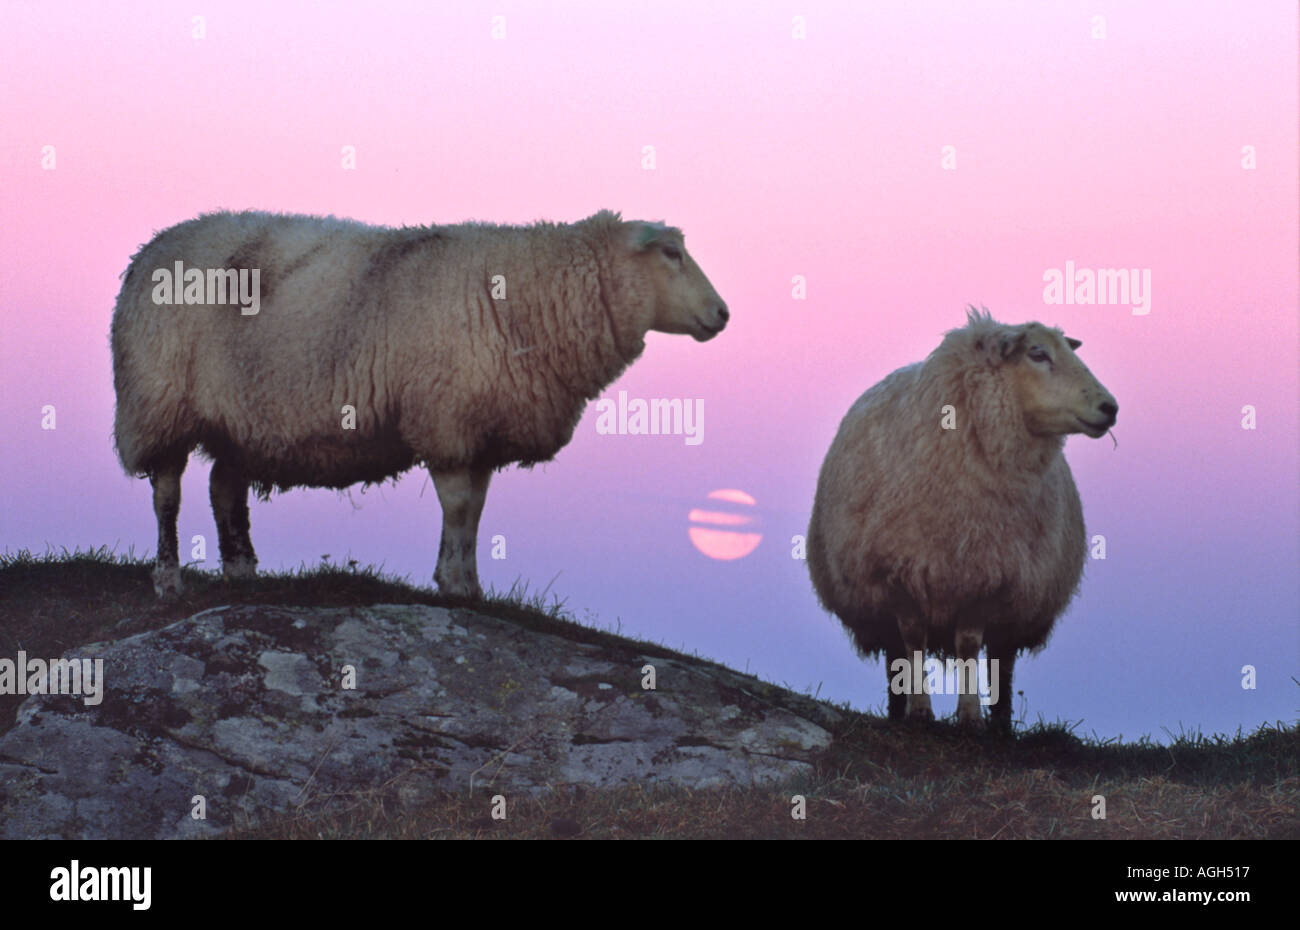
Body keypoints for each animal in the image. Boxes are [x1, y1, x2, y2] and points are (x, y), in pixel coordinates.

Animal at [111, 209, 728, 599]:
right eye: (670, 252)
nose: (722, 314)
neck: (533, 291)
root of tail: (149, 248)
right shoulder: (447, 419)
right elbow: (456, 507)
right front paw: (453, 584)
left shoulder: (480, 429)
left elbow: (475, 512)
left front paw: (468, 584)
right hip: (158, 402)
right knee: (167, 495)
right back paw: (168, 579)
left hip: (240, 415)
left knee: (225, 489)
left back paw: (241, 571)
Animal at [806, 308, 1117, 730]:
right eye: (1037, 354)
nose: (1110, 407)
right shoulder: (895, 572)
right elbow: (913, 641)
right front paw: (920, 711)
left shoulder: (987, 574)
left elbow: (969, 646)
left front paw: (970, 718)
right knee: (895, 656)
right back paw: (897, 712)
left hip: (1018, 603)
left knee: (1003, 662)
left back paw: (1001, 725)